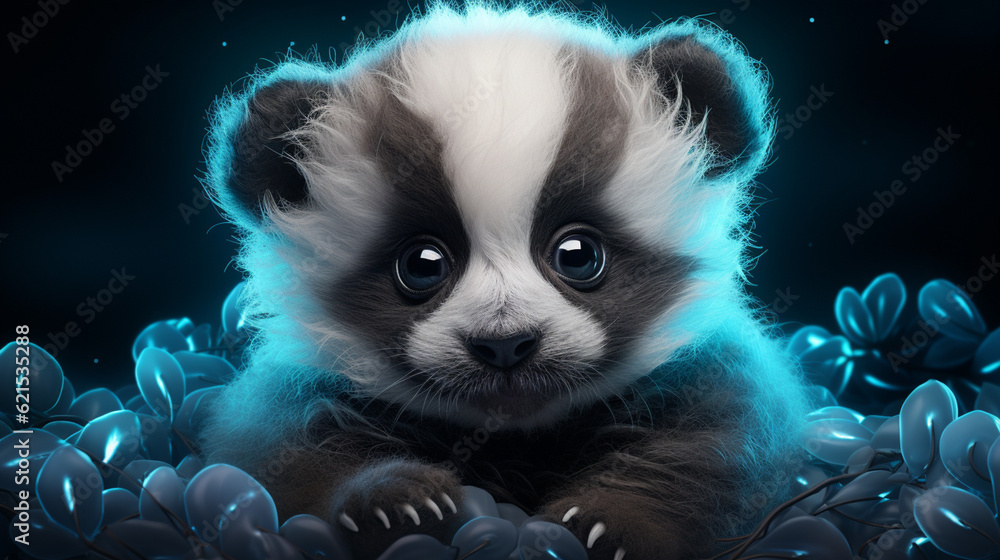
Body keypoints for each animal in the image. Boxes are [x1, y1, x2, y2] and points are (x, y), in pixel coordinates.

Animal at [201, 3, 808, 559]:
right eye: (422, 264)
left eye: (578, 254)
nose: (505, 343)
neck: (512, 433)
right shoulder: (297, 389)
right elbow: (289, 451)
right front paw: (395, 500)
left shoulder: (706, 371)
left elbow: (714, 451)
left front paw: (607, 524)